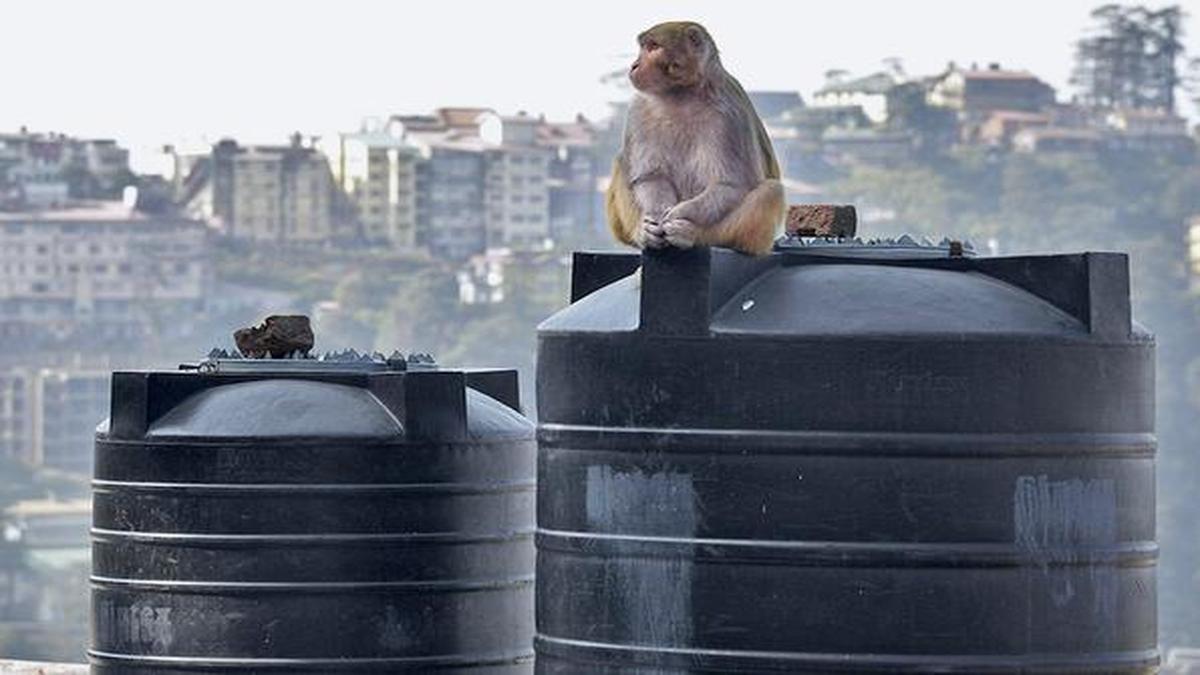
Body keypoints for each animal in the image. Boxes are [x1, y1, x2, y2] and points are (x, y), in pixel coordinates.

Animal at [606, 21, 786, 256]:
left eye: (653, 47)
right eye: (644, 47)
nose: (634, 65)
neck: (680, 94)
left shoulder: (728, 114)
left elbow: (729, 185)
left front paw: (676, 215)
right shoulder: (639, 108)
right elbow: (650, 176)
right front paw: (656, 219)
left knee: (771, 191)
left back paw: (695, 235)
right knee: (622, 162)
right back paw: (641, 233)